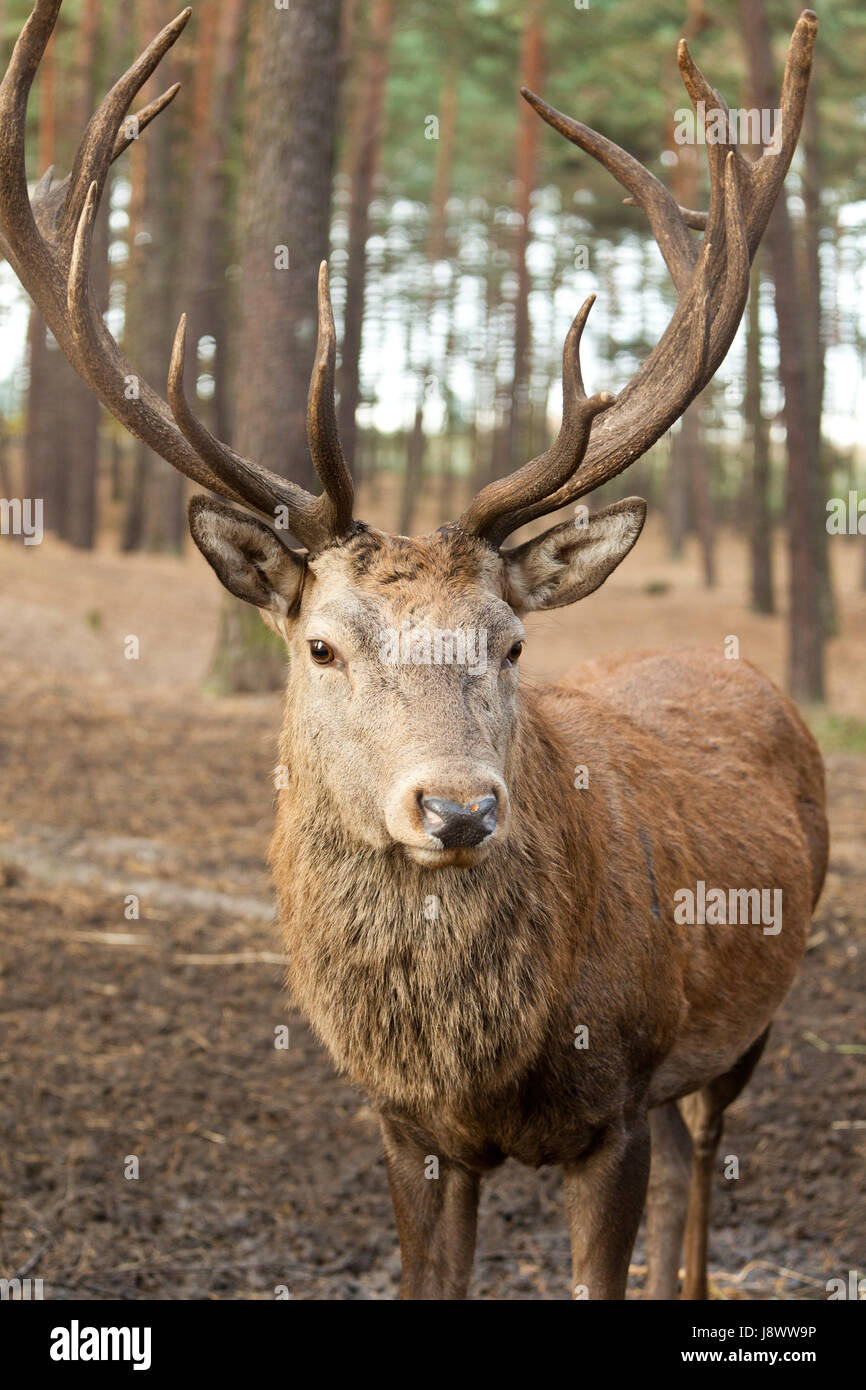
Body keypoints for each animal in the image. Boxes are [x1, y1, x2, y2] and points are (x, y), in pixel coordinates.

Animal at [0, 2, 826, 1300]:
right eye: (322, 645)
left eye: (511, 641)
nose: (456, 808)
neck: (475, 1060)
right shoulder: (402, 1128)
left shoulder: (616, 1105)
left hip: (746, 1022)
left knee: (703, 1166)